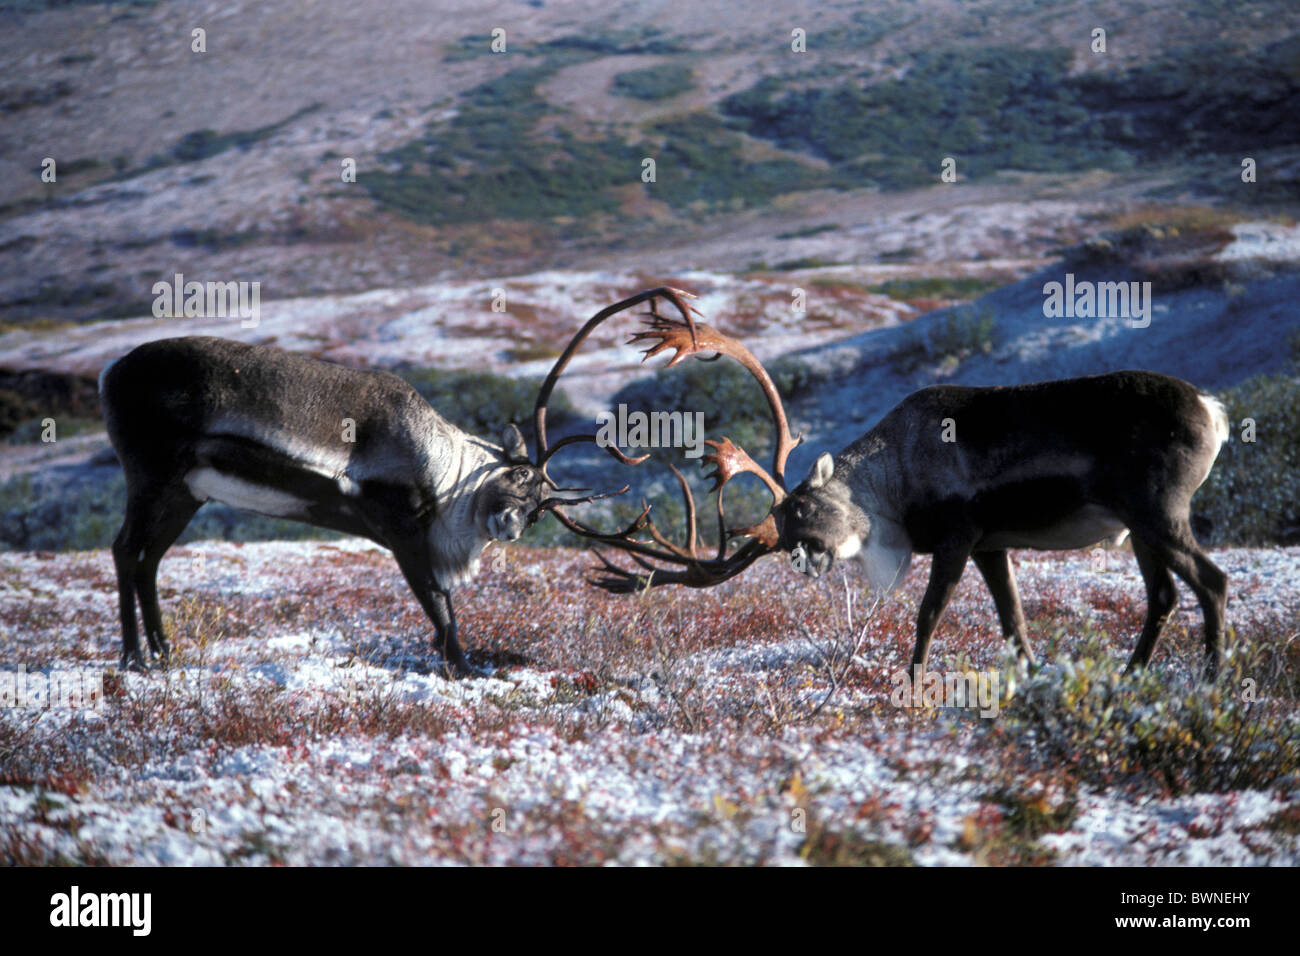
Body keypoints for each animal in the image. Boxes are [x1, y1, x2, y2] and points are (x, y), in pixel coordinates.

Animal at [98, 288, 691, 676]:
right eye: (521, 474)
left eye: (544, 507)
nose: (509, 525)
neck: (448, 473)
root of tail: (109, 372)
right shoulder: (403, 531)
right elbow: (439, 603)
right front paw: (463, 669)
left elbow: (442, 605)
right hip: (150, 475)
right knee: (126, 549)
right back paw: (133, 659)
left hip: (186, 493)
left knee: (150, 559)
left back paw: (164, 653)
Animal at [553, 293, 1231, 681]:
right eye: (782, 538)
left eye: (805, 507)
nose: (809, 558)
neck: (893, 474)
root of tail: (1213, 408)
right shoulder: (992, 544)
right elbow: (1012, 620)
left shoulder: (958, 537)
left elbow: (929, 614)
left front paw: (912, 683)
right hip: (1140, 527)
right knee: (1164, 596)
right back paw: (1132, 677)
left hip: (1159, 512)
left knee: (1212, 581)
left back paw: (1210, 680)